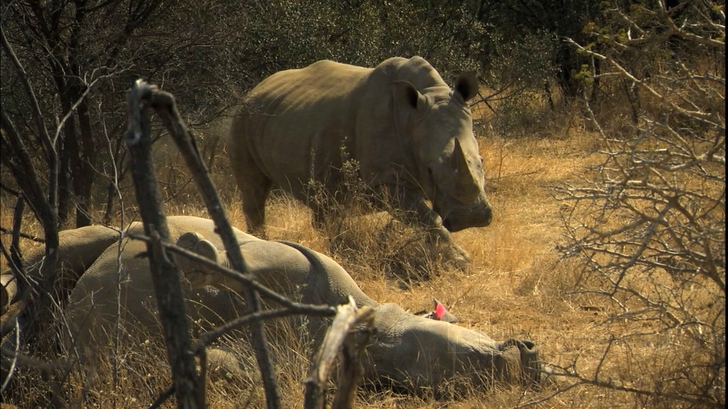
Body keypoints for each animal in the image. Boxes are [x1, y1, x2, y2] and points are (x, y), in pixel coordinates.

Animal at [5, 216, 540, 393]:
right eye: (479, 356)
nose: (529, 356)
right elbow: (225, 260)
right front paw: (193, 257)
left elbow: (220, 362)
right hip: (94, 236)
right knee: (55, 259)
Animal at [229, 56, 493, 268]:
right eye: (429, 170)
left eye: (481, 161)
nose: (472, 218)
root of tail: (256, 88)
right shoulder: (386, 181)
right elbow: (429, 218)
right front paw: (460, 260)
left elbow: (427, 218)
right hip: (243, 117)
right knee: (254, 187)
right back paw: (263, 245)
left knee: (325, 203)